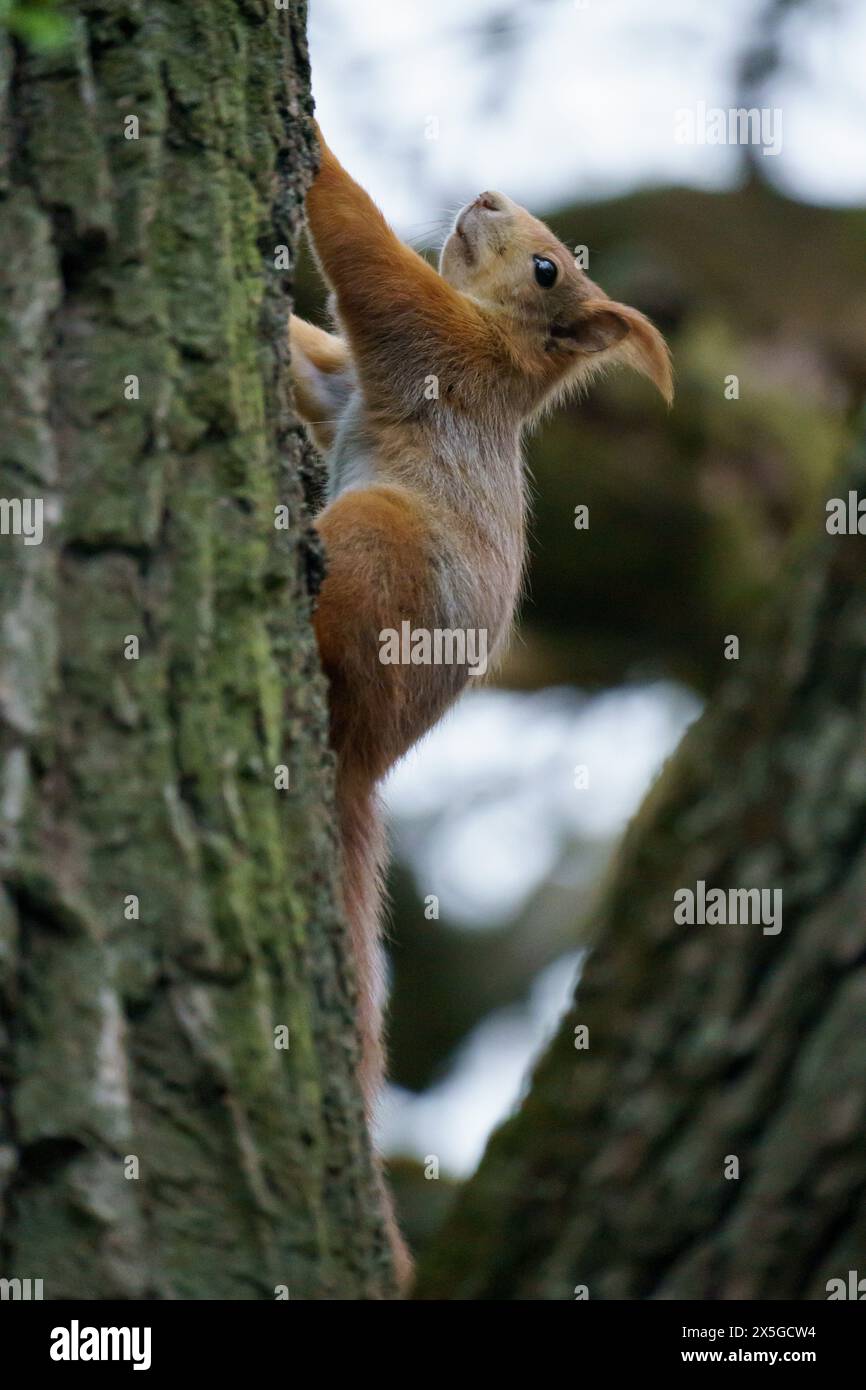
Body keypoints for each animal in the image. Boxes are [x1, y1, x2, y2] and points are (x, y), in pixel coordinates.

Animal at [291, 122, 672, 1284]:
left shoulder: (426, 339)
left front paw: (315, 141)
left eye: (548, 269)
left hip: (382, 553)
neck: (501, 352)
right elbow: (309, 360)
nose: (488, 196)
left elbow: (364, 256)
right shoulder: (344, 383)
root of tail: (366, 756)